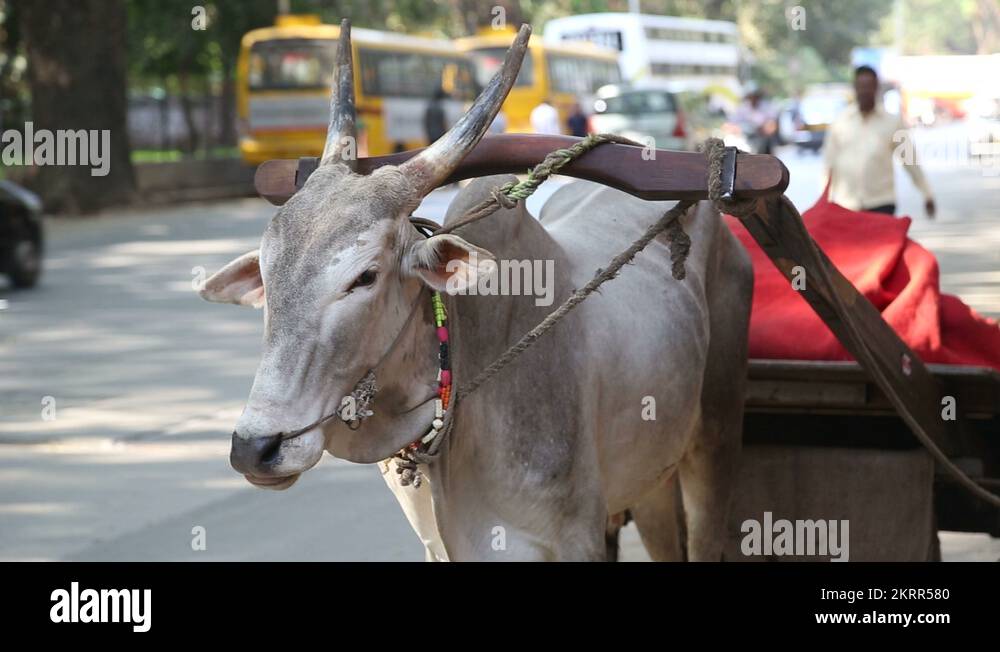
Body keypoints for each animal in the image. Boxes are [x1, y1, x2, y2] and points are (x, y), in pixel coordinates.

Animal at [199, 22, 753, 561]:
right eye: (267, 274)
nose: (255, 448)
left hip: (715, 440)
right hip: (654, 474)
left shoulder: (576, 536)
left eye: (365, 277)